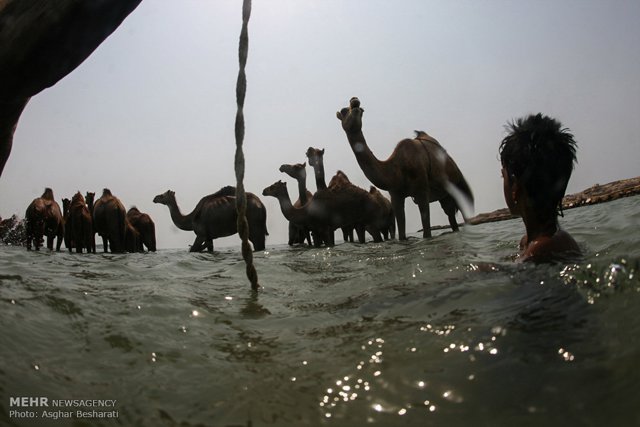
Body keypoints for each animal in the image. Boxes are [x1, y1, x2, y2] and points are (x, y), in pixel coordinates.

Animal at [336, 97, 474, 239]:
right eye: (343, 111)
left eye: (362, 110)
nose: (355, 101)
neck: (396, 169)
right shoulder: (395, 195)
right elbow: (401, 230)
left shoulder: (422, 190)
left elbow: (426, 230)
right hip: (444, 194)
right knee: (450, 214)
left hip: (458, 180)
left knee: (464, 207)